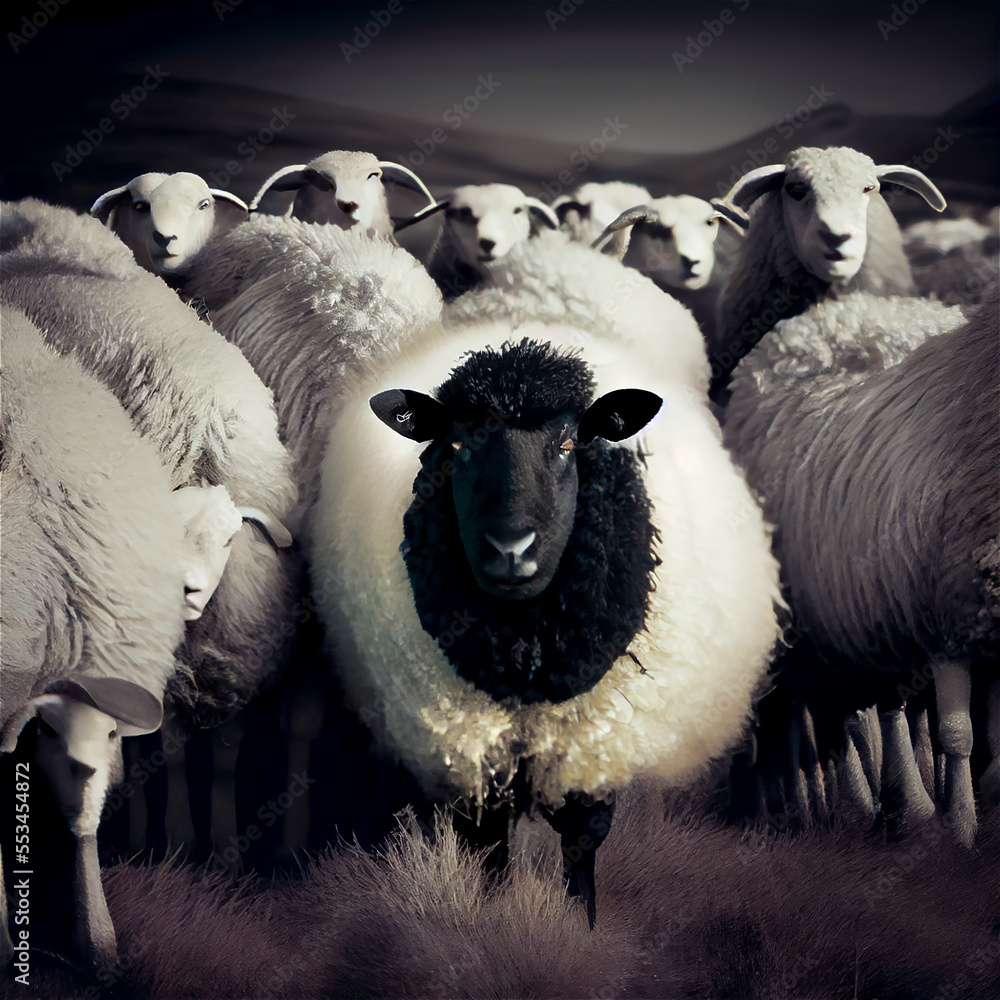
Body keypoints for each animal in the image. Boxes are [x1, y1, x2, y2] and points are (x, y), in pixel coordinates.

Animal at [311, 238, 783, 925]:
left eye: (567, 443)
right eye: (456, 447)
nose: (511, 550)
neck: (525, 660)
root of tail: (563, 259)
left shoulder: (593, 744)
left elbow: (582, 842)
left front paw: (578, 928)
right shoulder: (471, 744)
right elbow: (488, 845)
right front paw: (492, 916)